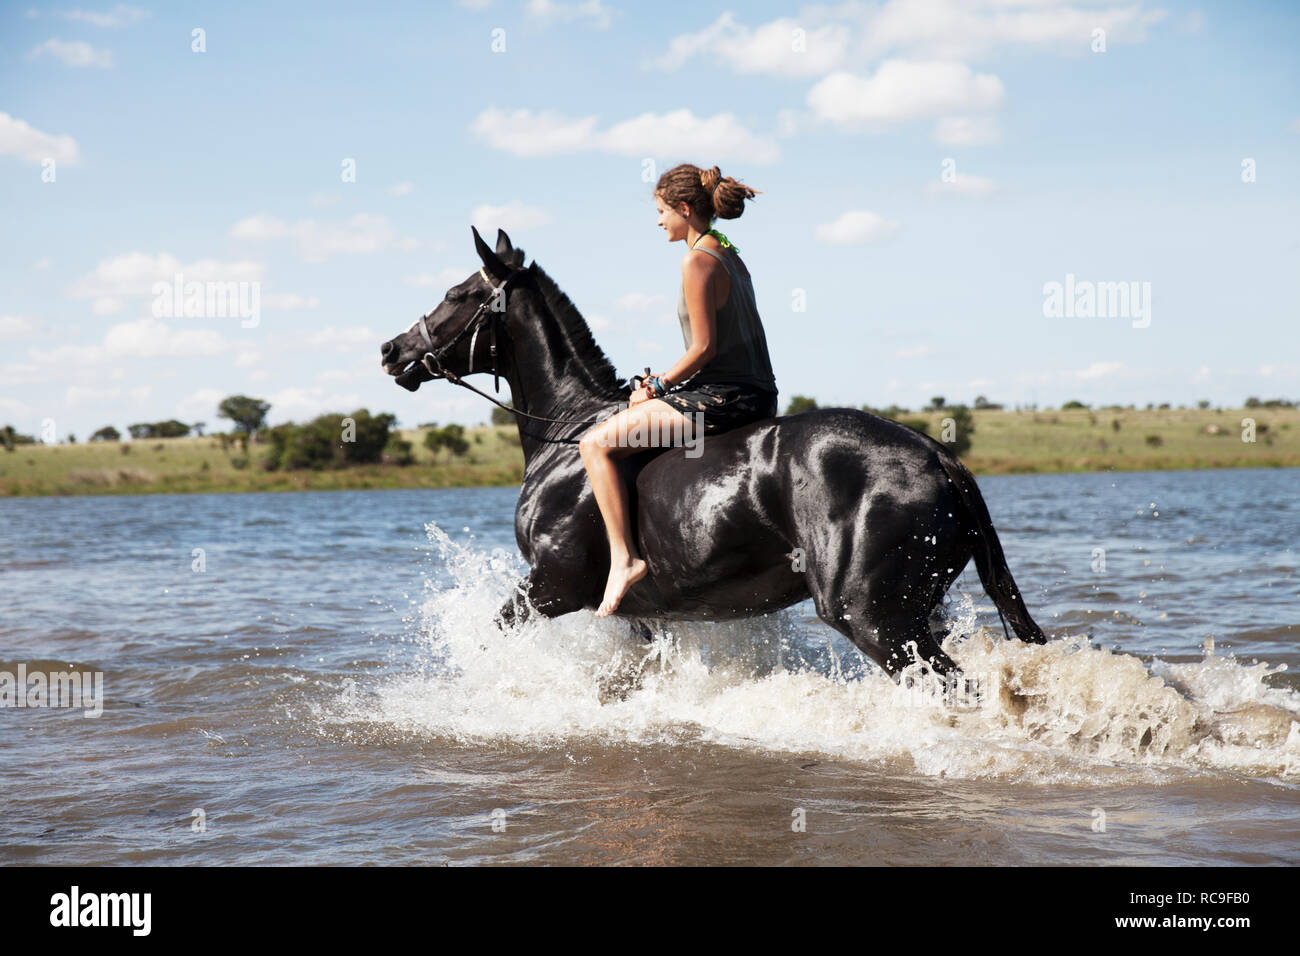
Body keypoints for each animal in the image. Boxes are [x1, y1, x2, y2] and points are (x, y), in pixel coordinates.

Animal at [380, 226, 1047, 678]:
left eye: (456, 293)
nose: (392, 351)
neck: (569, 430)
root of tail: (939, 457)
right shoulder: (643, 615)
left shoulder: (552, 585)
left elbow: (489, 639)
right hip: (915, 607)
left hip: (871, 614)